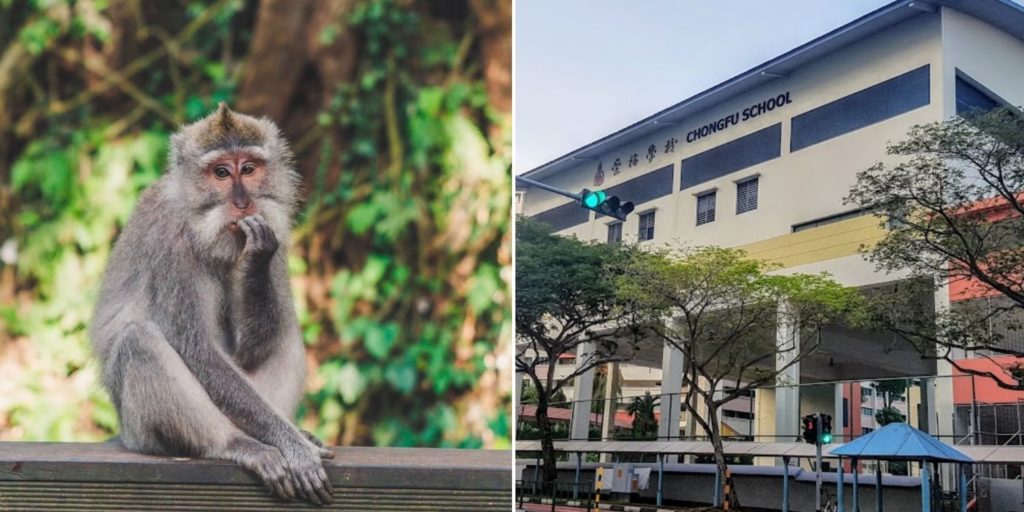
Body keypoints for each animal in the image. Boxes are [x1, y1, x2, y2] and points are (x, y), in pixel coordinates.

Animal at [89, 103, 334, 505]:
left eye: (248, 169)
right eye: (221, 172)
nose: (243, 203)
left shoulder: (277, 233)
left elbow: (248, 349)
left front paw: (255, 257)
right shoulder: (170, 243)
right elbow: (200, 350)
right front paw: (294, 448)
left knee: (285, 332)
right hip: (141, 433)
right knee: (138, 341)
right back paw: (237, 443)